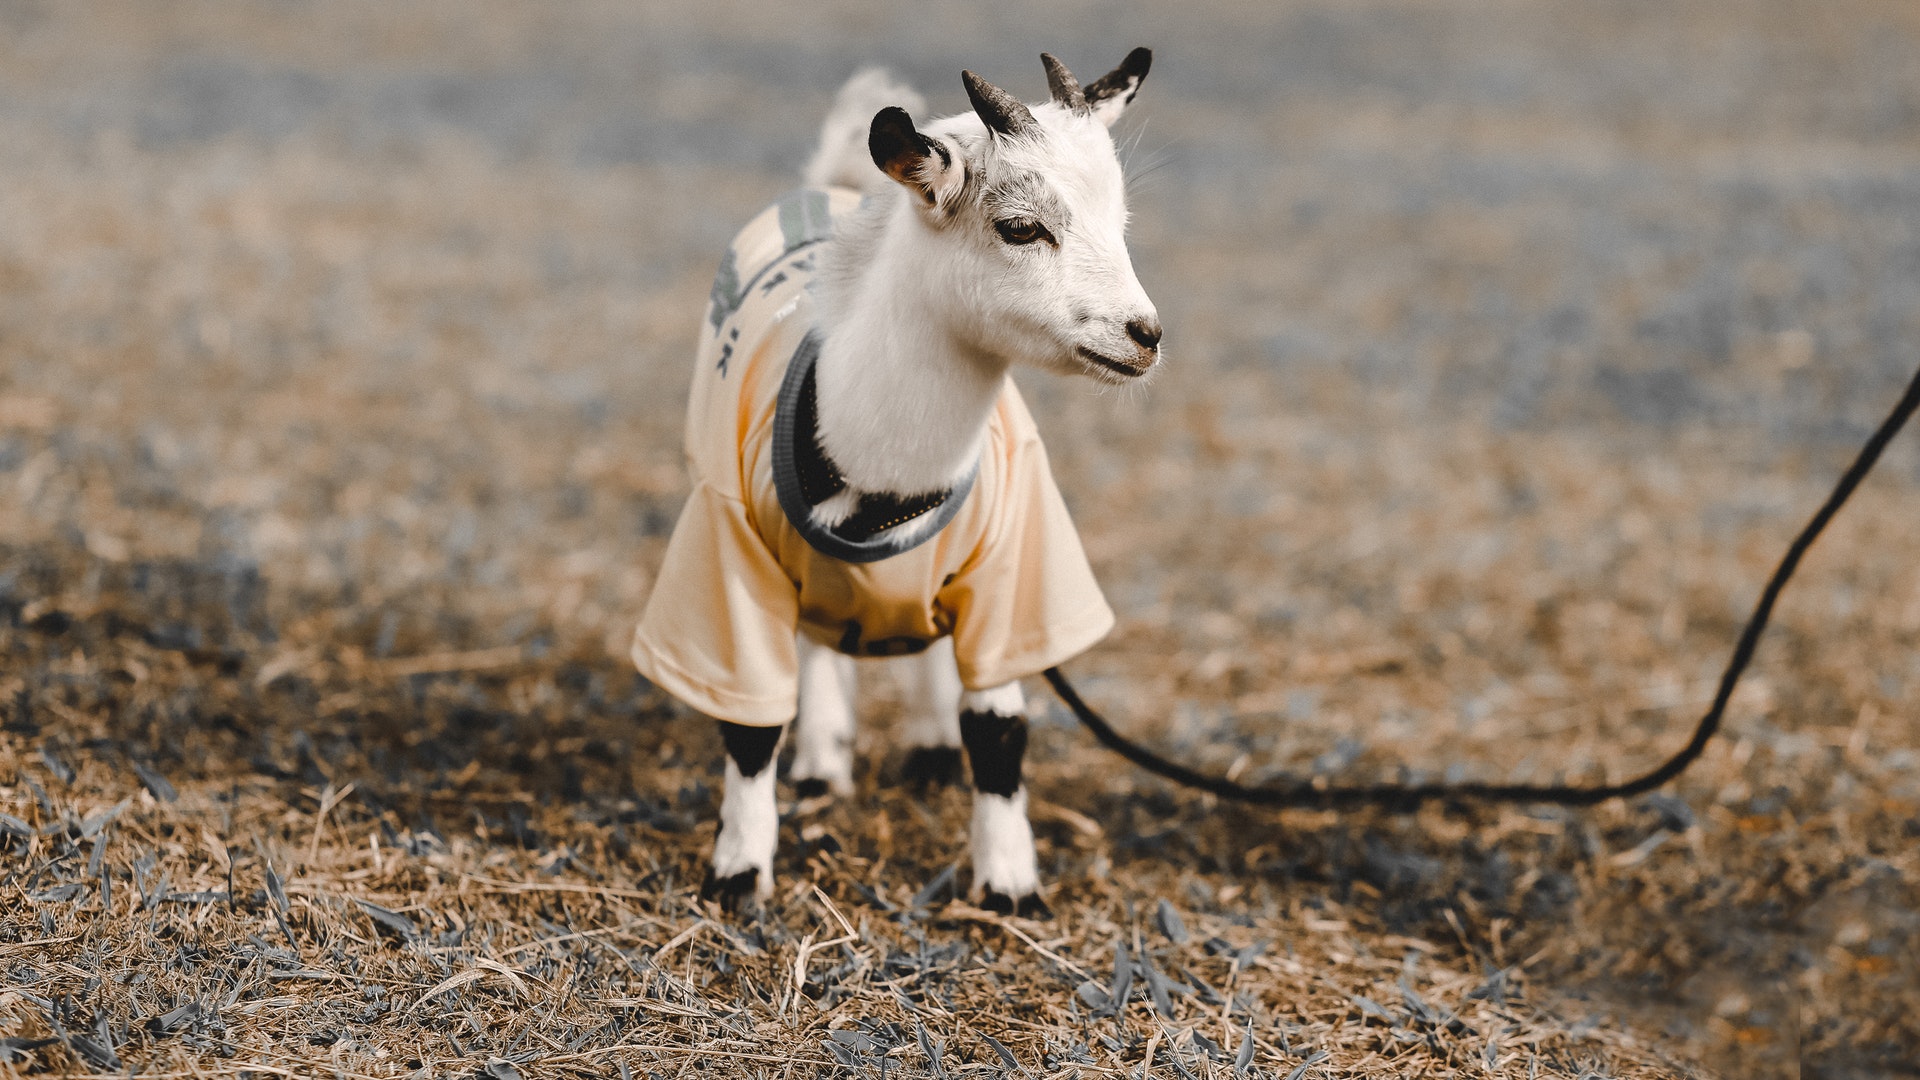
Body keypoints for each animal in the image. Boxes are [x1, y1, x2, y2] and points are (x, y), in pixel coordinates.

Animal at [632, 50, 1159, 917]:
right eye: (1022, 227)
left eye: (1120, 221)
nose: (1144, 336)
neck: (882, 473)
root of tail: (839, 181)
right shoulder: (727, 552)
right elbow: (750, 726)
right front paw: (738, 876)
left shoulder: (1015, 564)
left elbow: (1000, 730)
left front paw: (1010, 889)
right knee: (818, 641)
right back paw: (821, 763)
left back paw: (931, 748)